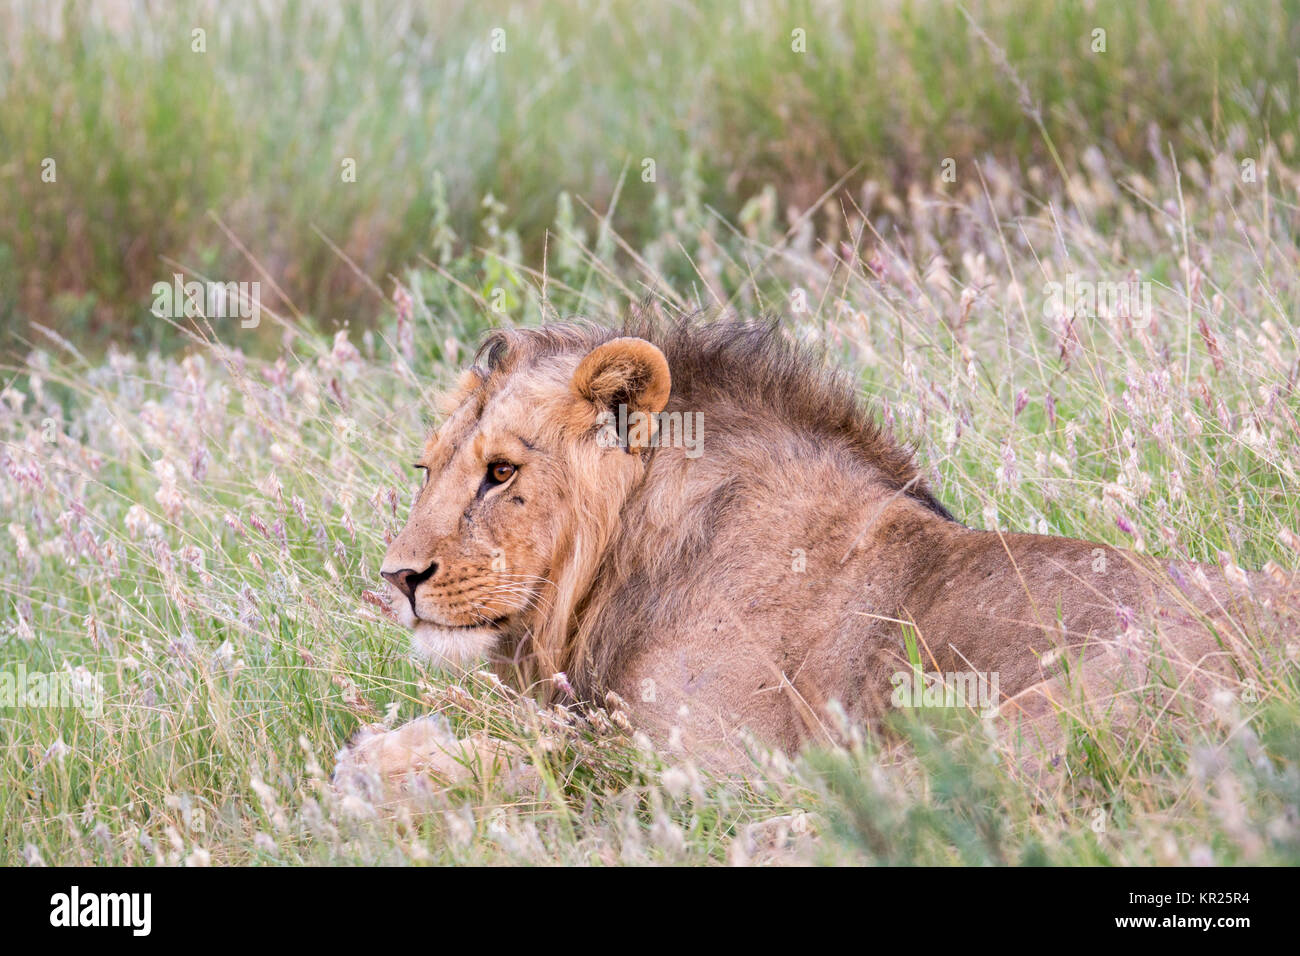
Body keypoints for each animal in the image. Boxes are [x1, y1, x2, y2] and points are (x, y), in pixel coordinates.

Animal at [342, 316, 1297, 794]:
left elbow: (549, 764)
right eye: (427, 470)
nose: (398, 579)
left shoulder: (720, 763)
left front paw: (386, 766)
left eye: (501, 472)